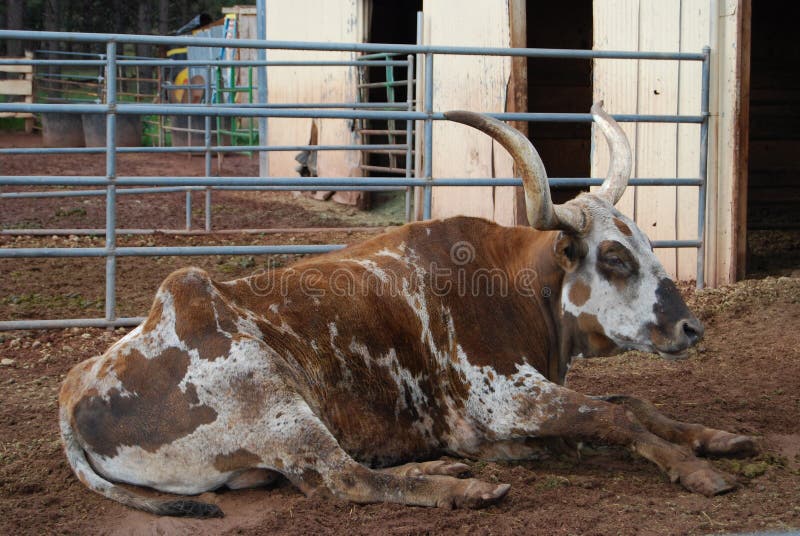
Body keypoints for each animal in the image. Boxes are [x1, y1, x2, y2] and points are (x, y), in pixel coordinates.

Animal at [59, 103, 756, 518]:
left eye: (648, 244)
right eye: (613, 256)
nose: (691, 326)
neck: (511, 289)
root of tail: (78, 386)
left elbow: (630, 403)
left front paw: (713, 437)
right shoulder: (507, 399)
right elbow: (615, 416)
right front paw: (694, 469)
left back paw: (446, 464)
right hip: (276, 403)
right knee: (343, 478)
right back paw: (463, 484)